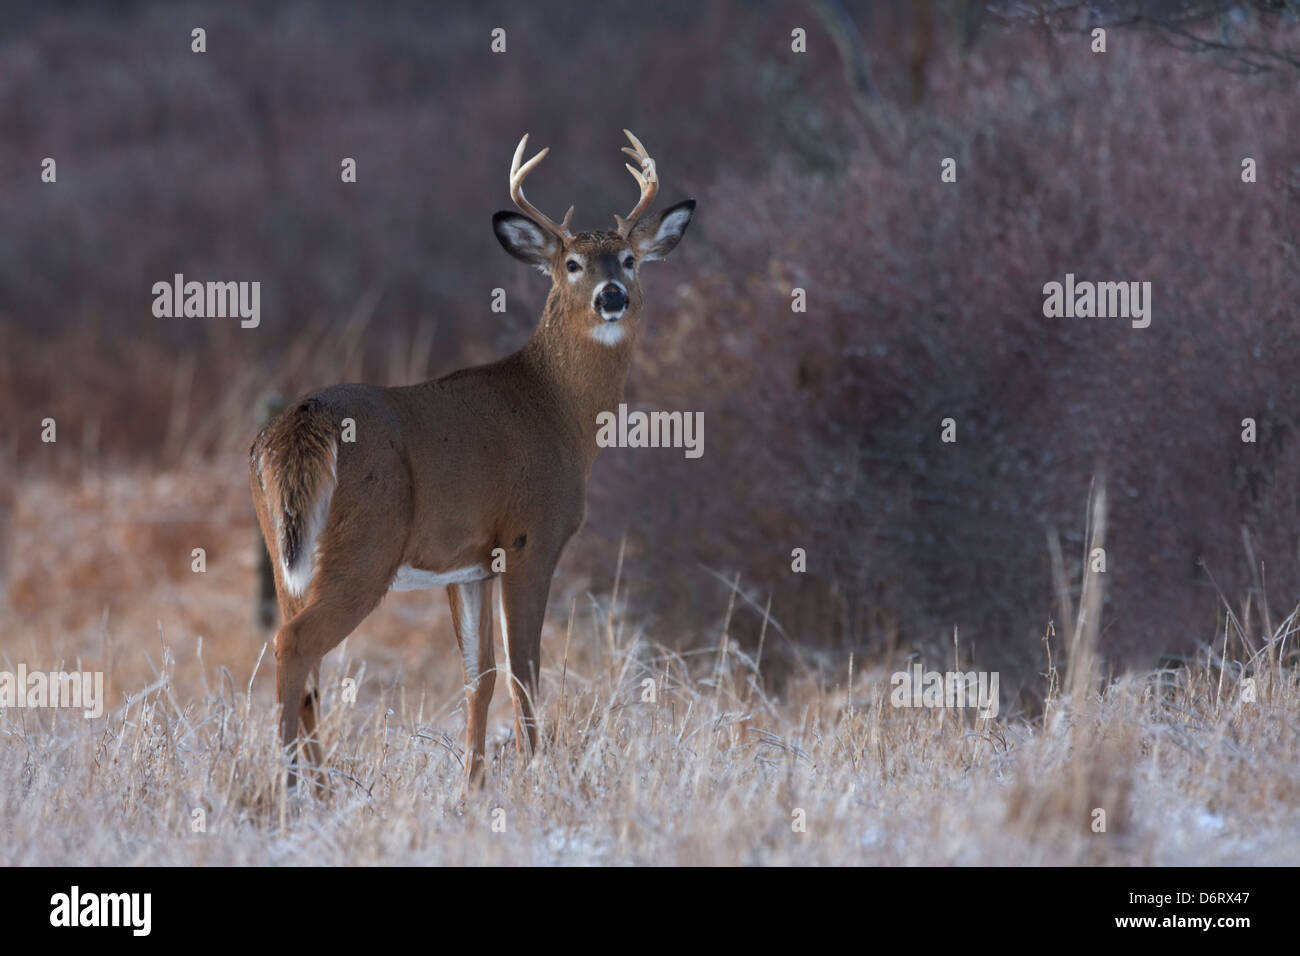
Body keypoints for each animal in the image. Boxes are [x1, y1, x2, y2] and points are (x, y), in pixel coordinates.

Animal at [249, 130, 695, 786]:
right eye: (571, 264)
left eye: (630, 260)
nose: (611, 296)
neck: (557, 410)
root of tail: (300, 425)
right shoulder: (532, 536)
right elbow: (524, 669)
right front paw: (538, 771)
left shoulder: (470, 564)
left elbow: (477, 676)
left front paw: (474, 784)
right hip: (366, 546)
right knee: (295, 644)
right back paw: (290, 787)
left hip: (286, 554)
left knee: (304, 662)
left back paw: (321, 788)